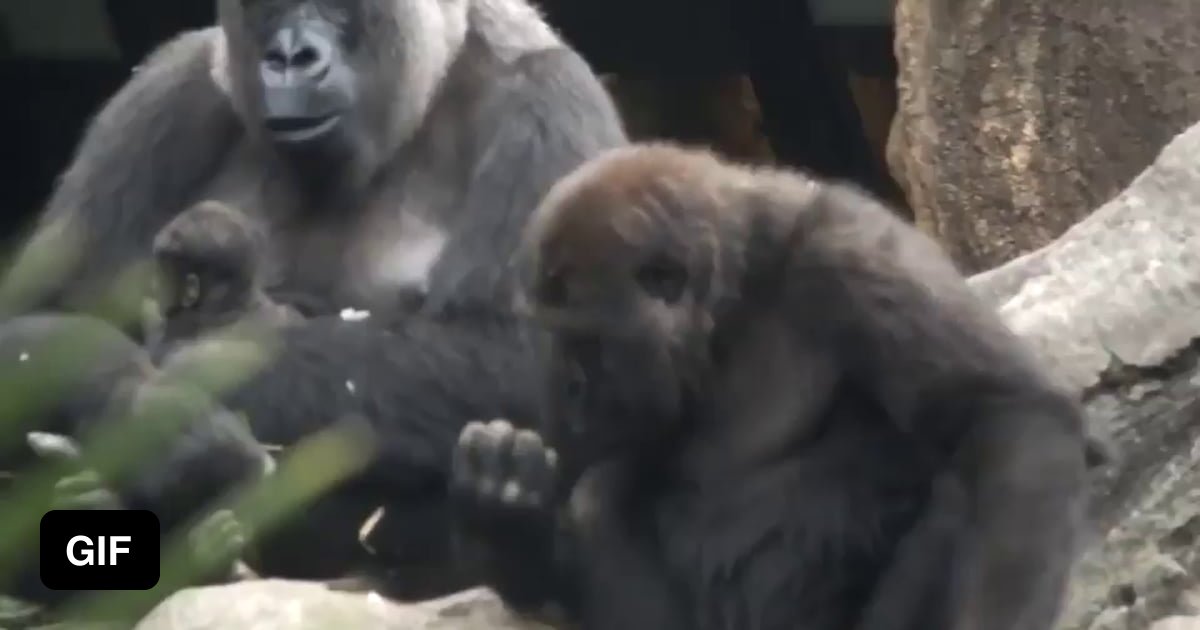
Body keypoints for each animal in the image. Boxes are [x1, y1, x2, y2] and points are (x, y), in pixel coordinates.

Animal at [449, 143, 1091, 630]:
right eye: (553, 337)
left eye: (587, 341)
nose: (572, 390)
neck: (729, 301)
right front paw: (507, 513)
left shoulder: (850, 252)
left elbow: (1006, 415)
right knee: (600, 499)